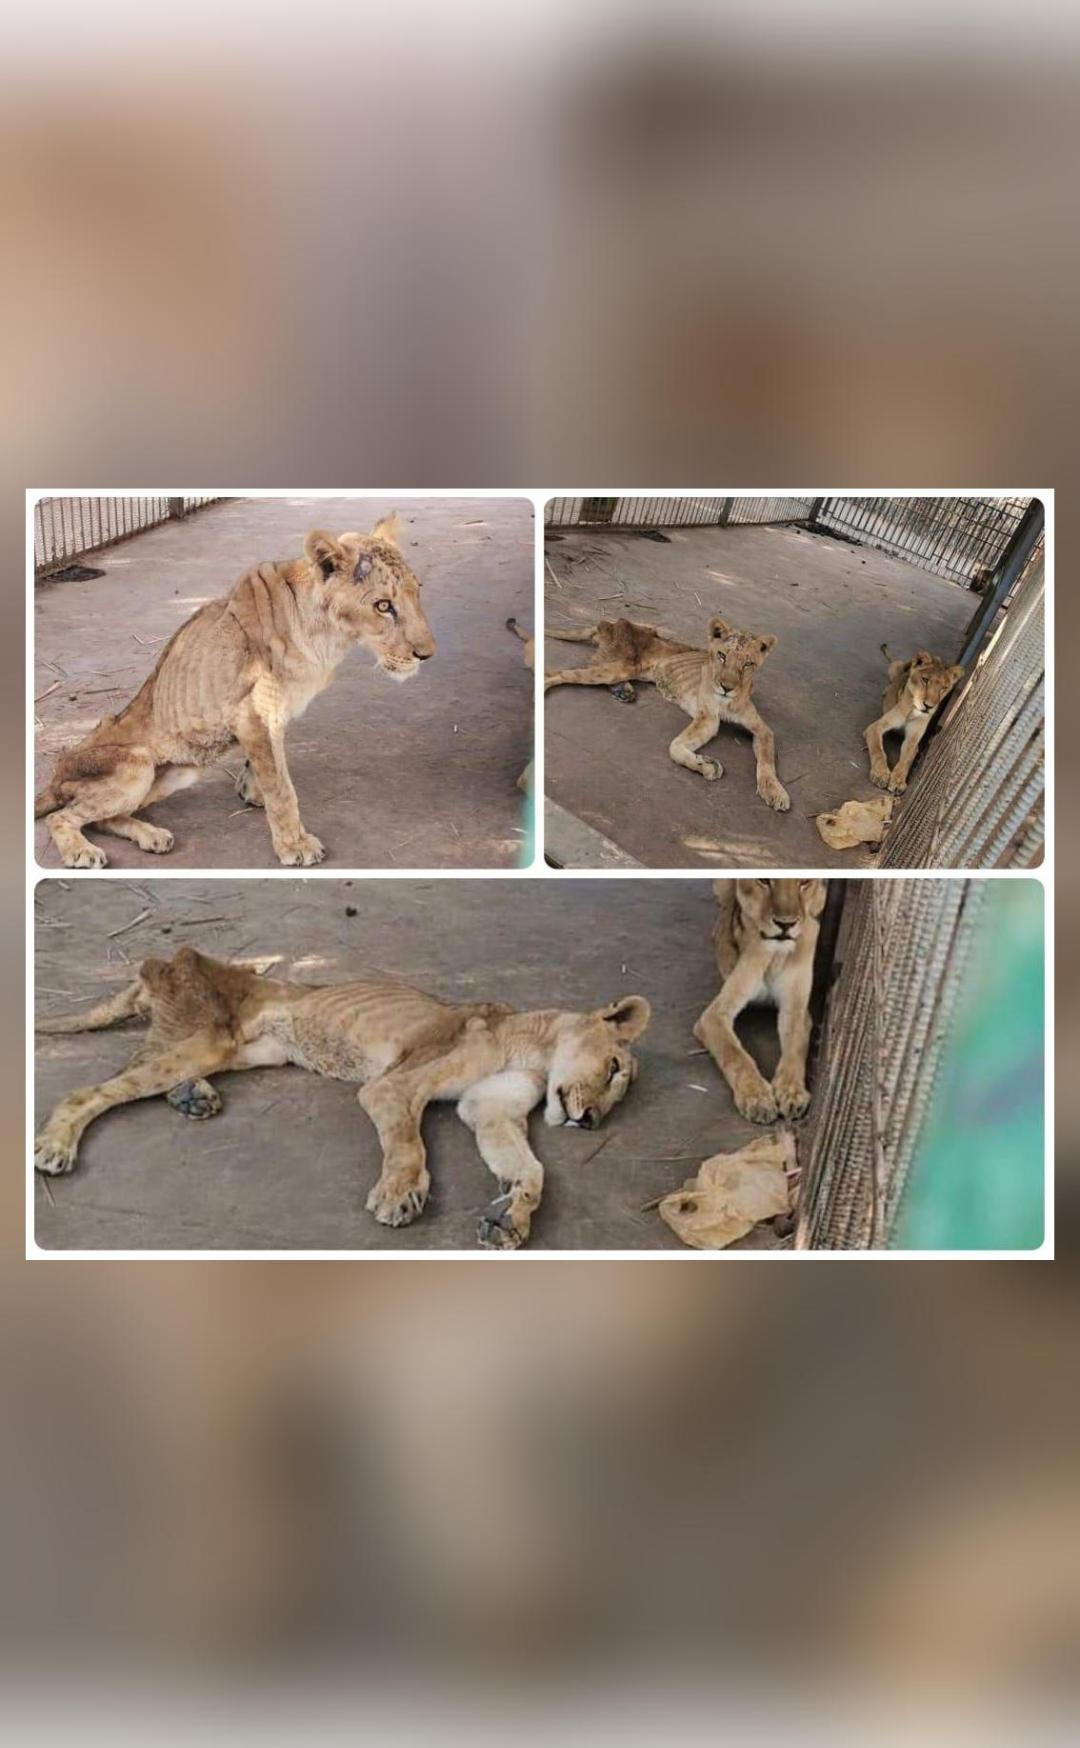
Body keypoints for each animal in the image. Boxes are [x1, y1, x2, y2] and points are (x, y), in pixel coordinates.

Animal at [34, 513, 435, 869]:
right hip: (136, 764)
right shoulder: (256, 713)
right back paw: (83, 852)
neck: (329, 636)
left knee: (104, 817)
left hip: (181, 771)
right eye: (383, 605)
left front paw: (251, 790)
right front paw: (294, 845)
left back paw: (153, 836)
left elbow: (266, 767)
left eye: (417, 592)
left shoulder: (270, 713)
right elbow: (281, 786)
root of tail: (54, 776)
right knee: (63, 816)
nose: (427, 654)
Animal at [34, 947, 650, 1250]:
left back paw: (192, 1097)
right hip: (204, 1036)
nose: (592, 1122)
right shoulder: (393, 1085)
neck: (534, 1051)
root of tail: (163, 963)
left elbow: (530, 1170)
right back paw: (55, 1147)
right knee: (93, 1089)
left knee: (142, 1069)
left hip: (241, 1051)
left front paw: (510, 1220)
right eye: (615, 1068)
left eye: (619, 1094)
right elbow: (408, 1143)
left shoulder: (488, 1110)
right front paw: (400, 1194)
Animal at [544, 614, 789, 810]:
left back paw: (624, 691)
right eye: (721, 655)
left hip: (624, 670)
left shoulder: (762, 729)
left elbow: (766, 762)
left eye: (748, 664)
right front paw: (707, 765)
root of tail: (611, 623)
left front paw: (775, 792)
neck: (728, 701)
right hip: (617, 668)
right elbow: (675, 747)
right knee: (557, 673)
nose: (726, 687)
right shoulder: (708, 719)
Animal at [693, 878, 825, 1124]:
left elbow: (795, 1048)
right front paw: (756, 1098)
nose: (785, 925)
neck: (776, 955)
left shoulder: (796, 1010)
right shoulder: (713, 1016)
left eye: (804, 882)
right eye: (764, 881)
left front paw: (791, 1092)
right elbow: (735, 1054)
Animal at [864, 644, 964, 795]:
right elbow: (878, 750)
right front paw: (881, 774)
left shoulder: (913, 740)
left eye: (944, 688)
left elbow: (905, 760)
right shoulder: (875, 727)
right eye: (925, 680)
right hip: (895, 668)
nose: (928, 706)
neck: (913, 711)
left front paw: (898, 781)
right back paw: (886, 690)